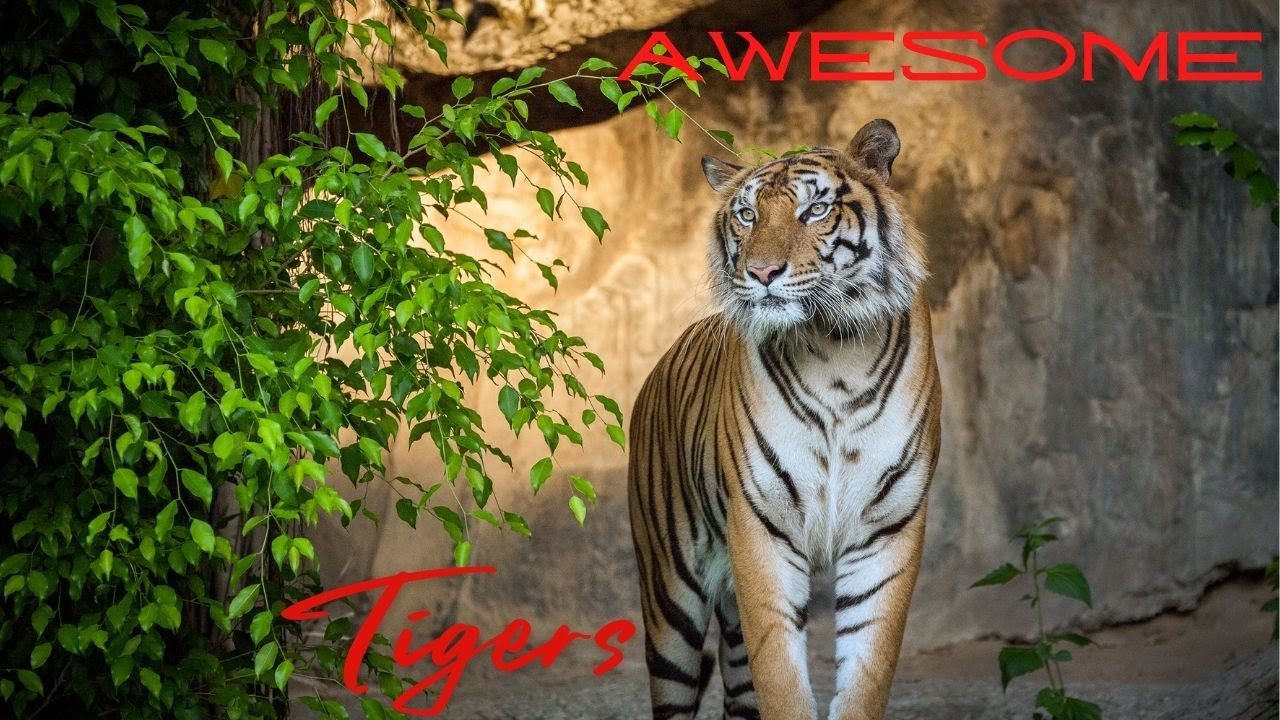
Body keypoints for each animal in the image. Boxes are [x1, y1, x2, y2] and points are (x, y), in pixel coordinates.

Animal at [627, 119, 941, 720]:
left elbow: (867, 676)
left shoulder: (888, 529)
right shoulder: (761, 528)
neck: (836, 351)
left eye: (815, 210)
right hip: (670, 594)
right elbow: (781, 677)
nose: (761, 272)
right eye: (748, 215)